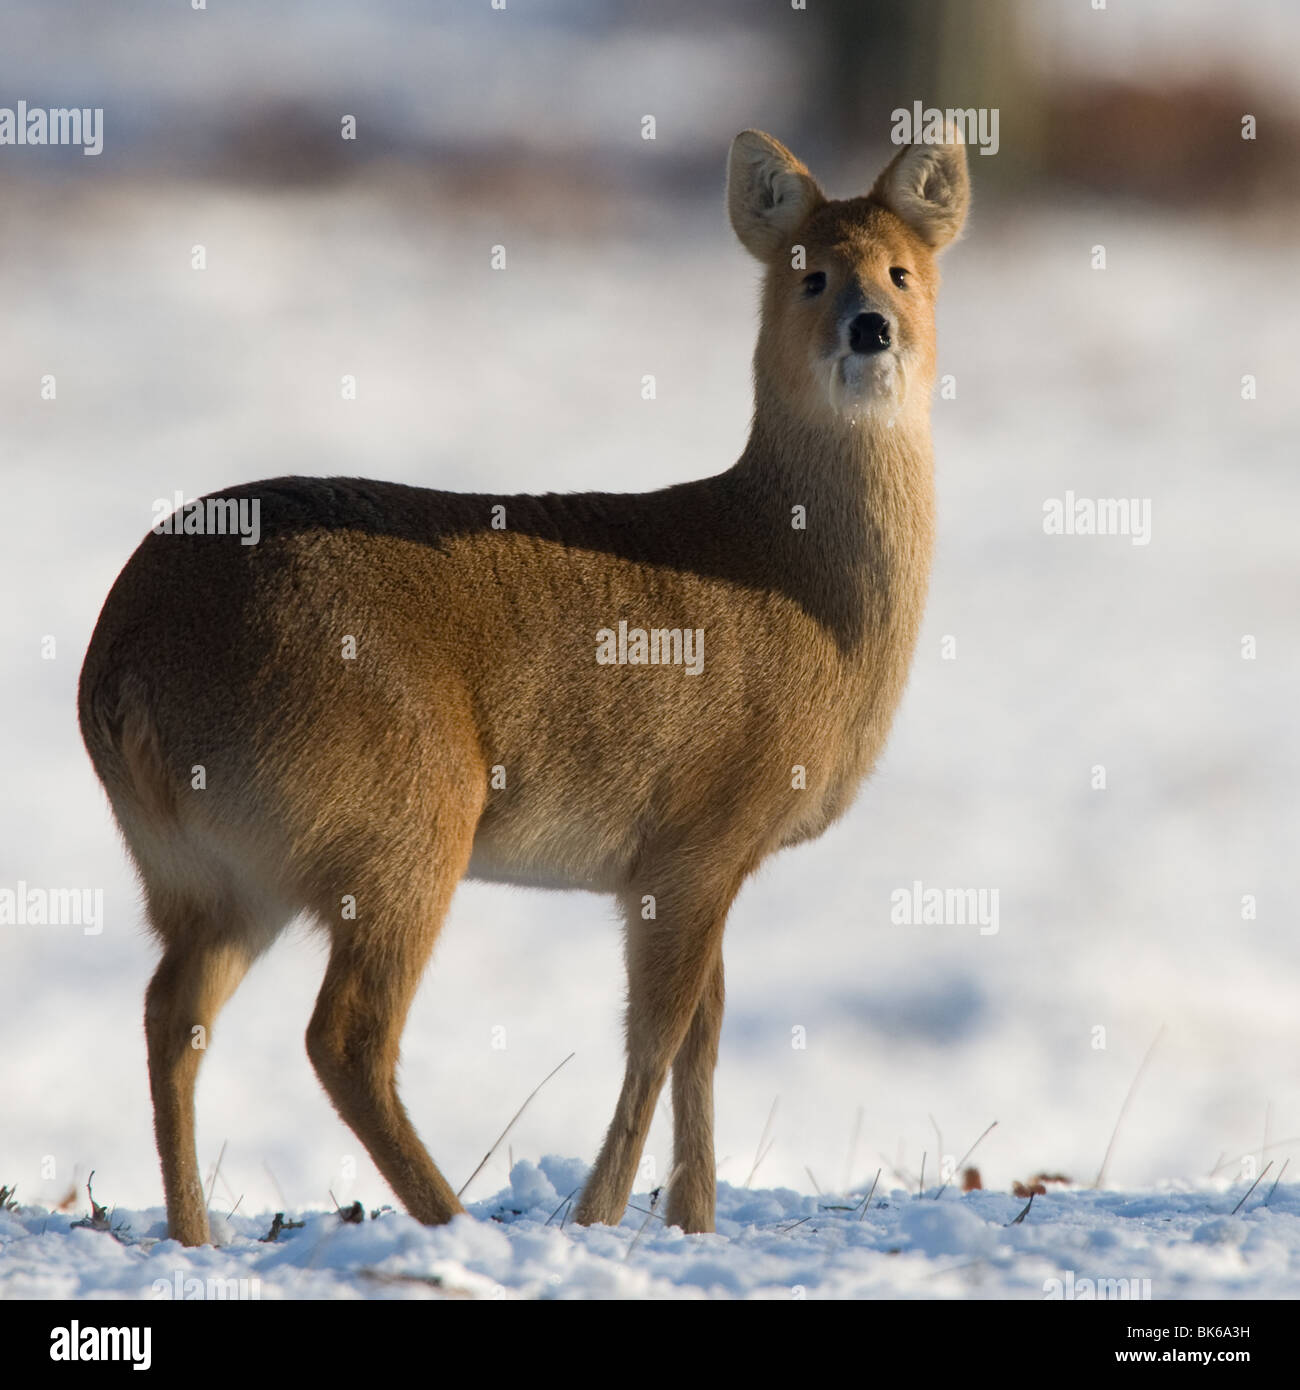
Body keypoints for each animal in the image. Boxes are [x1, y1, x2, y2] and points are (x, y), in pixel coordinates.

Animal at [78, 129, 969, 1246]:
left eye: (901, 269)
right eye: (808, 272)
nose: (869, 327)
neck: (799, 583)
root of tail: (119, 669)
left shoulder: (700, 861)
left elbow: (705, 1033)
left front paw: (694, 1222)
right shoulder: (699, 833)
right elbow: (661, 1031)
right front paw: (601, 1216)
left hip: (209, 872)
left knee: (173, 1014)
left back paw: (198, 1233)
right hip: (404, 814)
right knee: (343, 1034)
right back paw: (452, 1221)